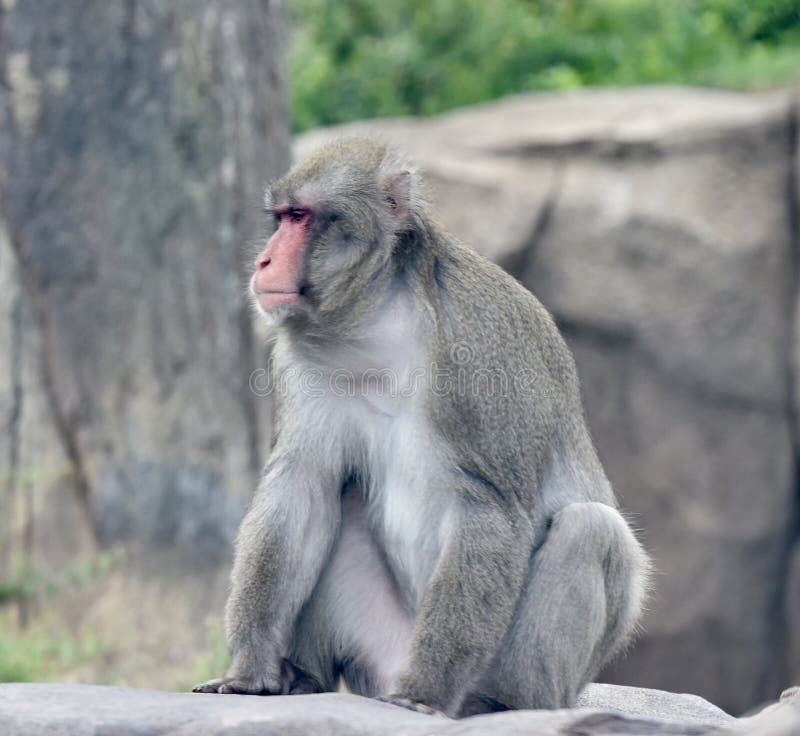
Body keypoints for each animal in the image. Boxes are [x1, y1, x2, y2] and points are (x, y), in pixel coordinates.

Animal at [193, 137, 650, 718]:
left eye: (300, 217)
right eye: (280, 218)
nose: (264, 260)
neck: (378, 319)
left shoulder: (478, 346)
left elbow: (490, 511)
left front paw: (423, 692)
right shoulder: (304, 362)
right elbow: (303, 486)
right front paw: (249, 671)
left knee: (592, 529)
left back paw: (504, 703)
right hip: (380, 645)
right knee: (341, 495)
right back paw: (305, 677)